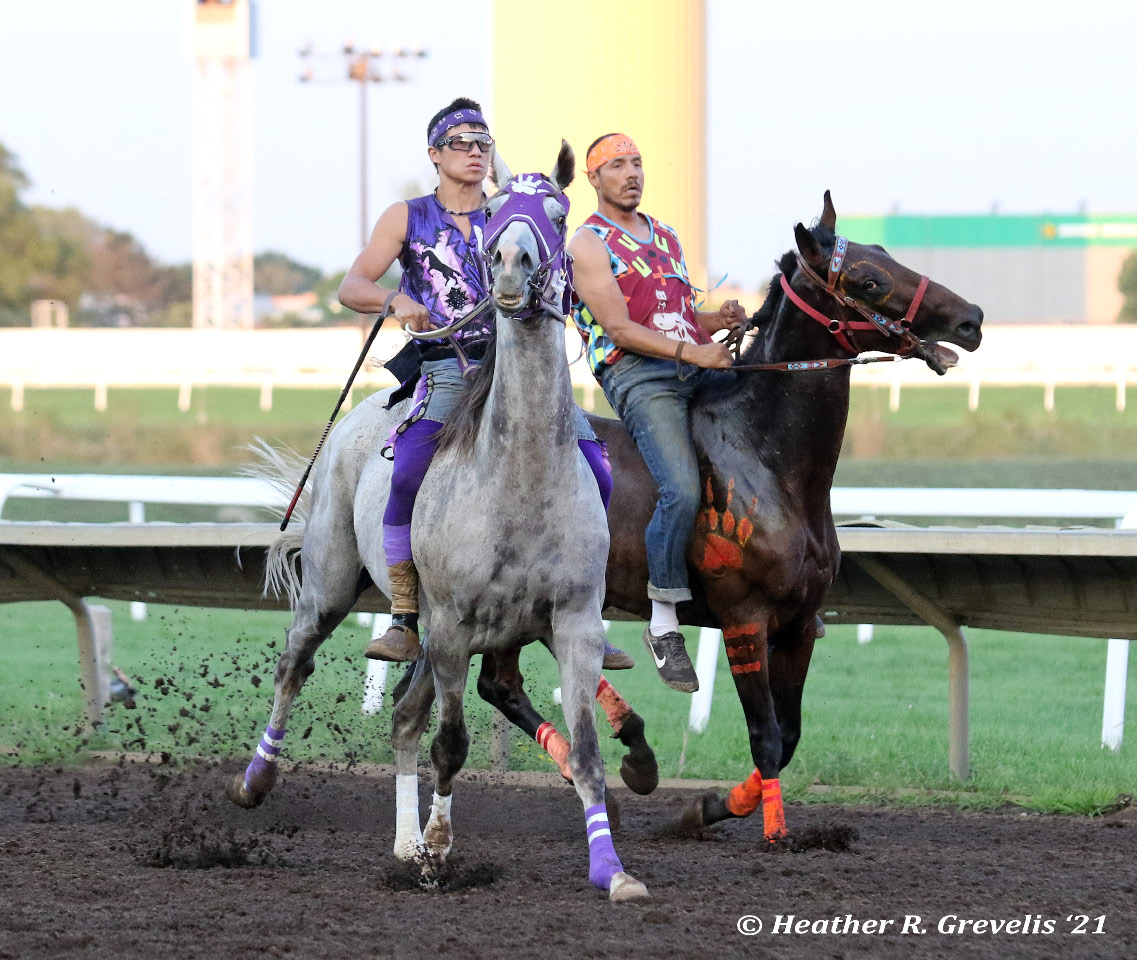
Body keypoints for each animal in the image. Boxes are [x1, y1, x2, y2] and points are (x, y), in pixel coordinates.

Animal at [228, 142, 649, 902]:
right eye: (496, 212)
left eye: (557, 211)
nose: (510, 266)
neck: (519, 482)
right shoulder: (454, 625)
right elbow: (450, 745)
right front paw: (438, 850)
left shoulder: (573, 622)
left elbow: (586, 752)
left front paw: (612, 871)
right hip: (334, 585)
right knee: (295, 664)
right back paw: (257, 779)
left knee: (401, 717)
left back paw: (401, 842)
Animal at [475, 191, 984, 841]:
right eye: (869, 280)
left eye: (888, 253)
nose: (971, 318)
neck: (768, 457)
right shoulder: (745, 619)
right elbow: (765, 738)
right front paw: (776, 834)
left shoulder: (799, 623)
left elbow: (788, 738)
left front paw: (706, 808)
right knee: (497, 682)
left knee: (503, 682)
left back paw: (624, 766)